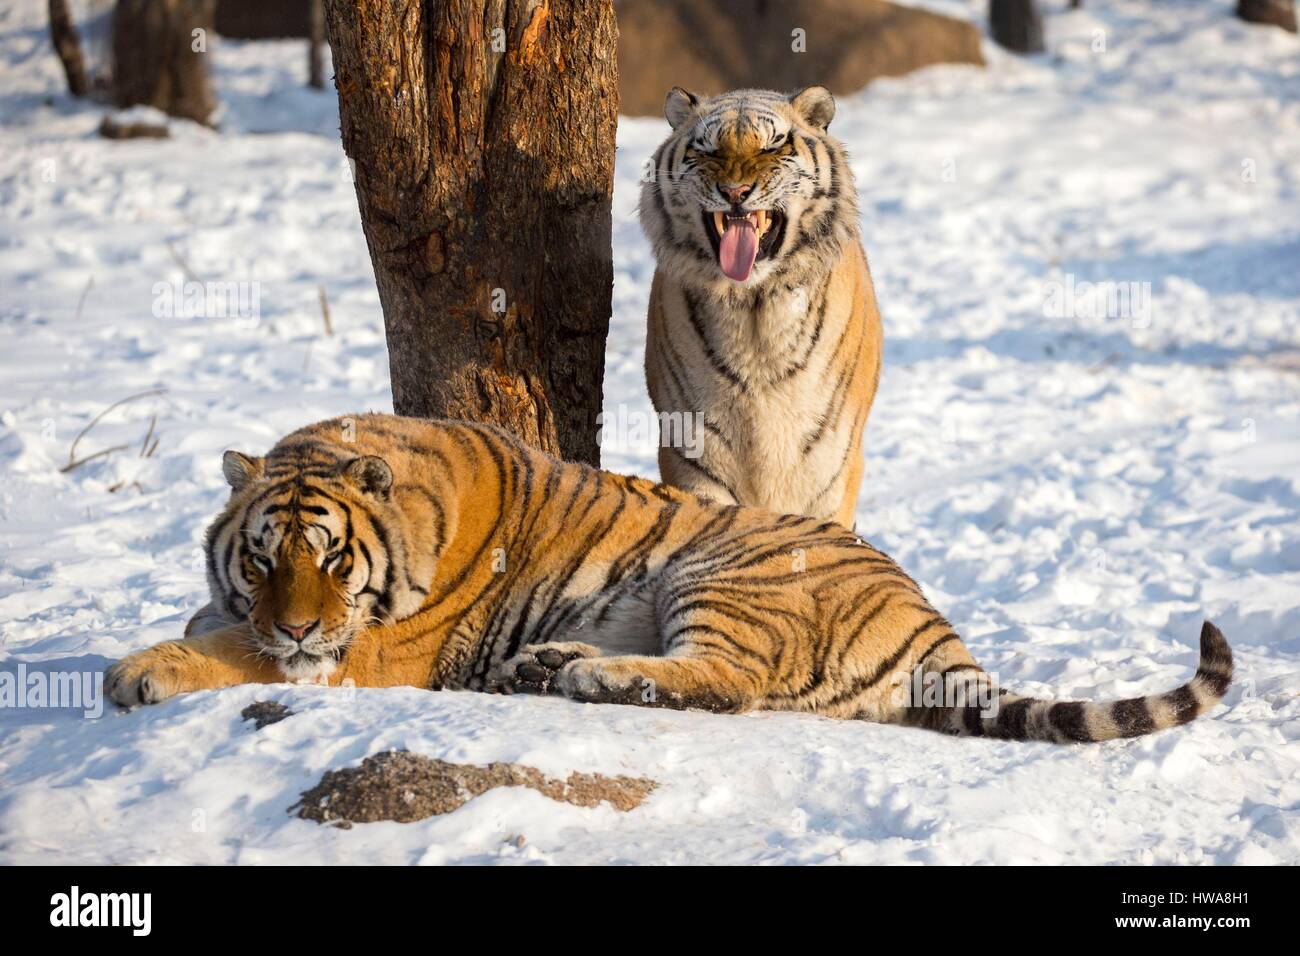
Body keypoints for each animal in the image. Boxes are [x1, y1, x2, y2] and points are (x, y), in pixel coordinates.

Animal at [106, 413, 1233, 744]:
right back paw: (547, 663)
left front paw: (138, 669)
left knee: (725, 684)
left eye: (333, 558)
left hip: (720, 570)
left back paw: (581, 673)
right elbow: (218, 619)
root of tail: (932, 624)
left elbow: (231, 650)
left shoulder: (367, 646)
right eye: (263, 555)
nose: (301, 625)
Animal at [639, 86, 883, 528]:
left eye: (773, 146)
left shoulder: (831, 464)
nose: (735, 193)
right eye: (707, 149)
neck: (754, 309)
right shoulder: (693, 450)